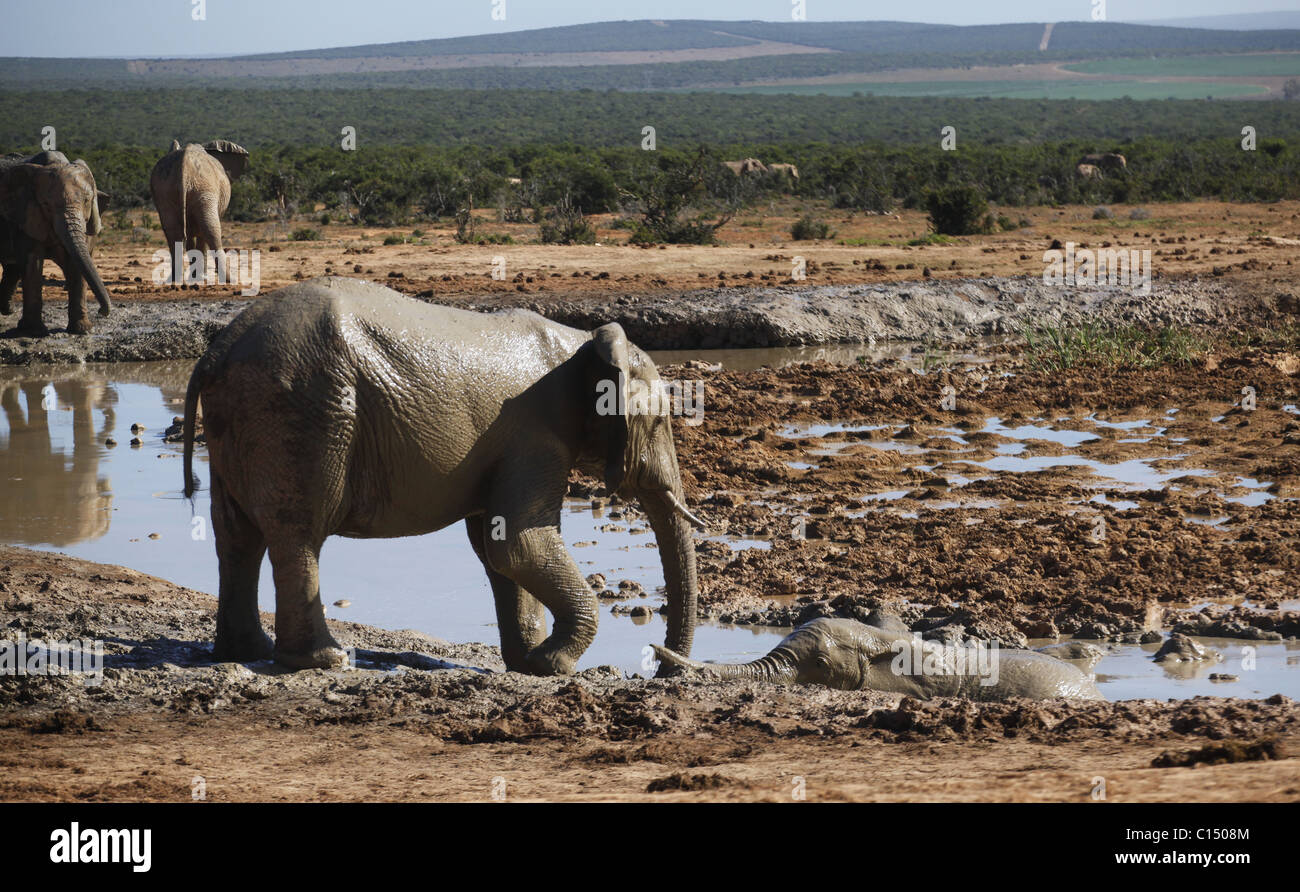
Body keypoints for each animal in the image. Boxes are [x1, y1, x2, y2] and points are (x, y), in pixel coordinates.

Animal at [0, 150, 113, 335]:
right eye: (46, 205)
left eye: (87, 201)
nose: (102, 311)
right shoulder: (26, 214)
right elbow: (32, 262)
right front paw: (33, 332)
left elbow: (76, 265)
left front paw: (82, 330)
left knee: (12, 268)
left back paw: (7, 310)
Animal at [149, 139, 249, 286]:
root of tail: (184, 166)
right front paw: (199, 277)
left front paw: (194, 277)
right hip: (205, 189)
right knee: (210, 230)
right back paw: (228, 280)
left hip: (166, 191)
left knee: (173, 232)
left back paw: (174, 281)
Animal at [181, 277, 702, 675]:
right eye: (660, 422)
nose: (660, 670)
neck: (583, 343)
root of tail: (215, 353)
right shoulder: (535, 437)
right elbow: (518, 543)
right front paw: (552, 665)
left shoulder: (507, 447)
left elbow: (495, 546)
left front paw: (527, 663)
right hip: (305, 409)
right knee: (298, 534)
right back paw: (322, 661)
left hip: (247, 417)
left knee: (238, 536)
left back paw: (247, 652)